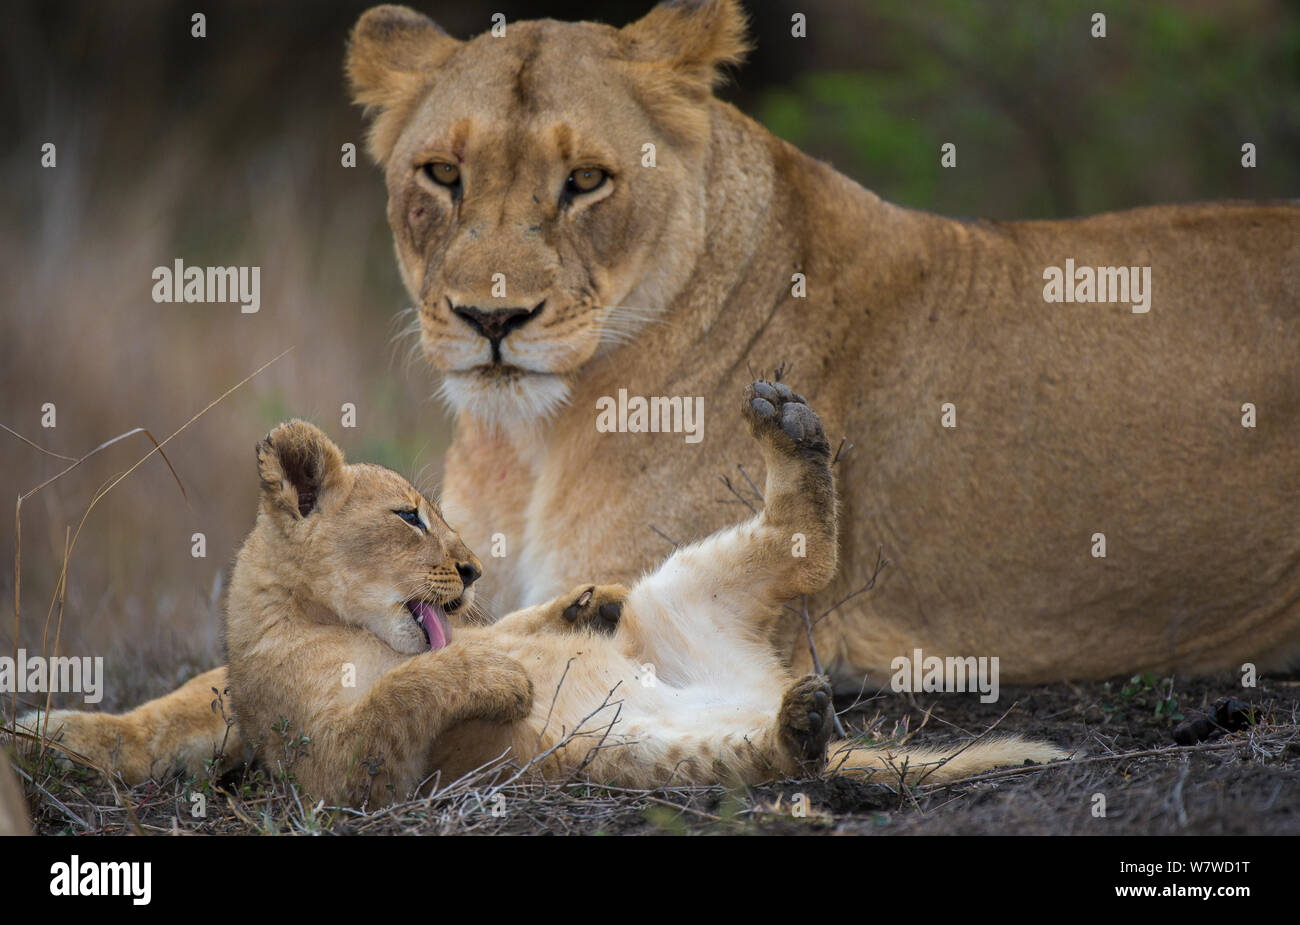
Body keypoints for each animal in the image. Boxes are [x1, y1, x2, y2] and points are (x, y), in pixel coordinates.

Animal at [19, 383, 1062, 803]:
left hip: (685, 584)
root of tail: (745, 690)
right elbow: (406, 693)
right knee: (768, 756)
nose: (475, 567)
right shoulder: (344, 768)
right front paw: (506, 677)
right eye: (410, 517)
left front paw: (565, 610)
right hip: (640, 754)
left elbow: (476, 643)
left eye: (440, 516)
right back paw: (801, 725)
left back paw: (790, 426)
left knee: (800, 543)